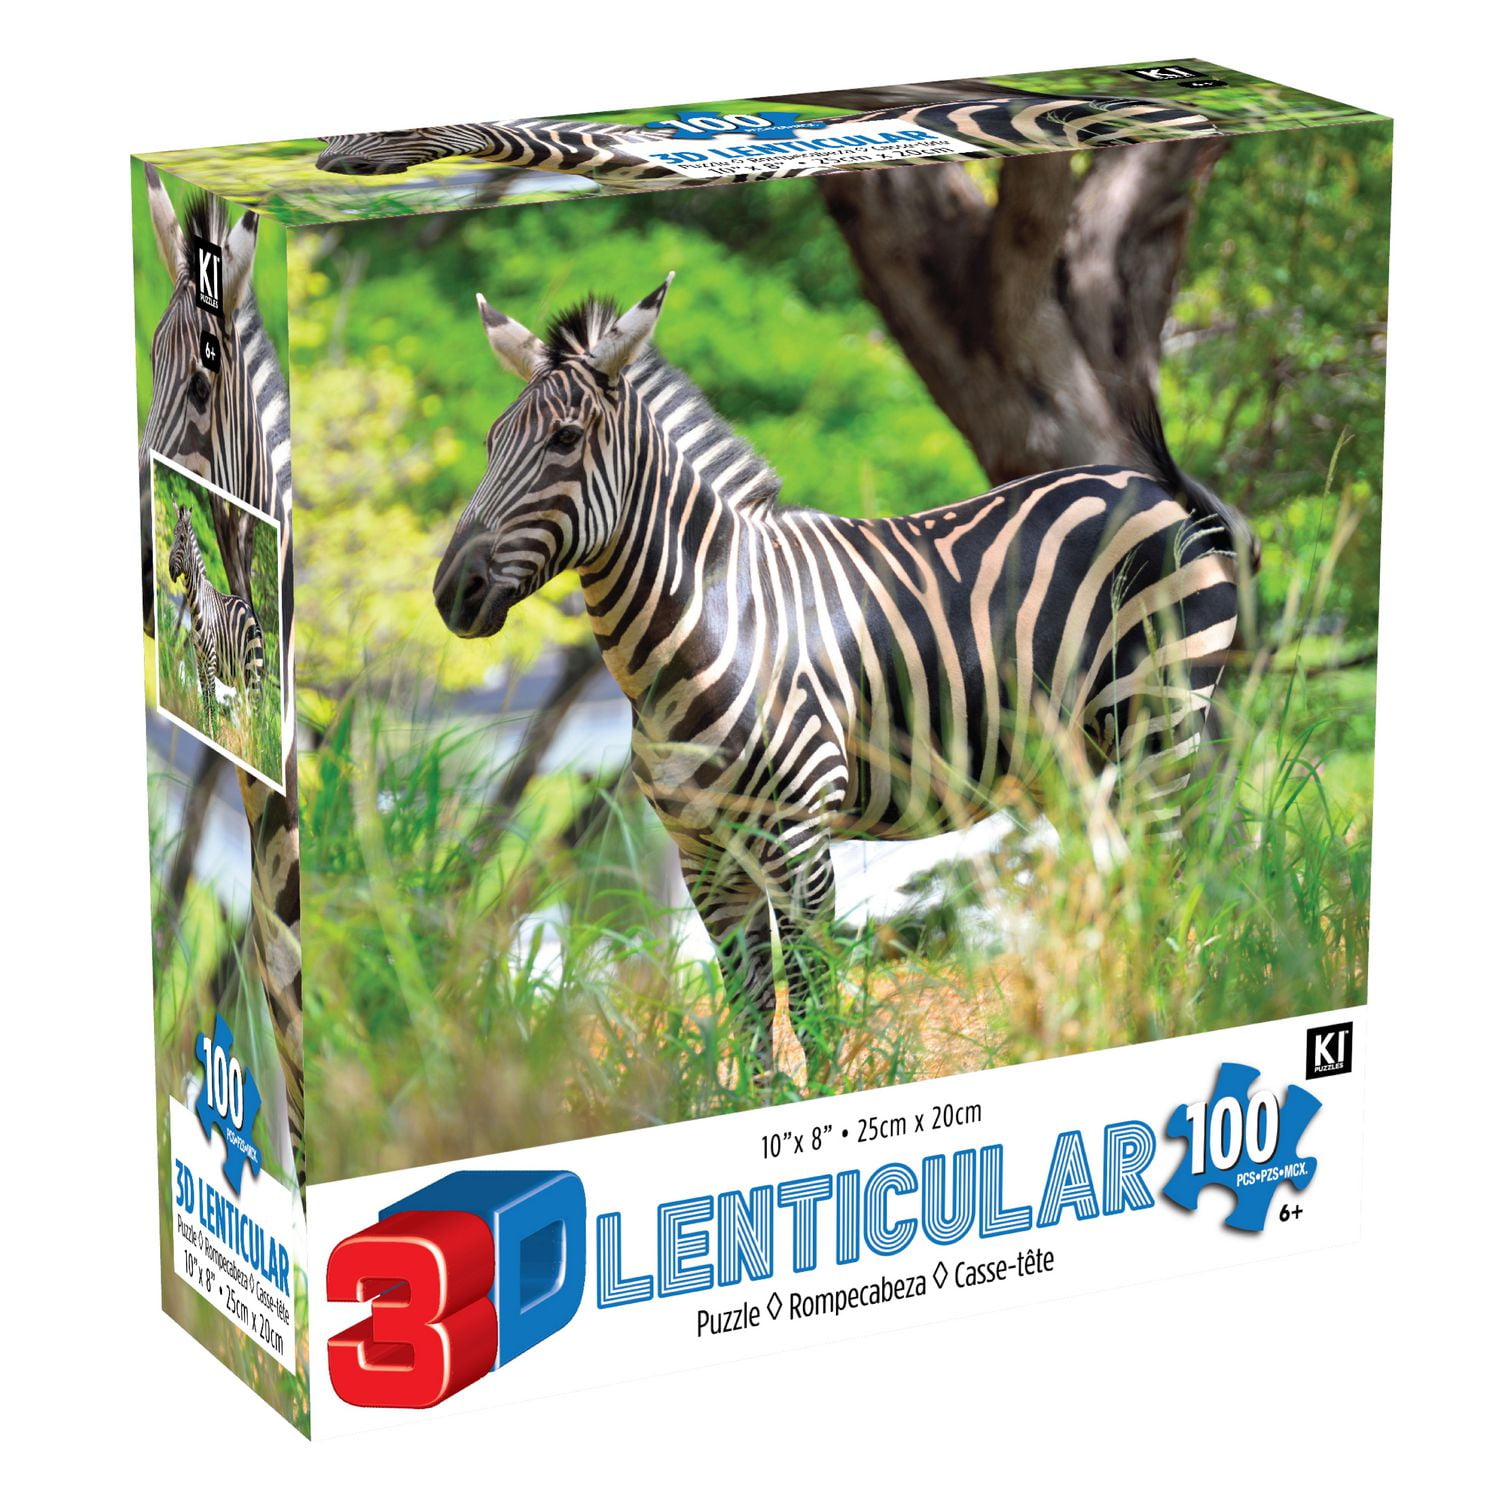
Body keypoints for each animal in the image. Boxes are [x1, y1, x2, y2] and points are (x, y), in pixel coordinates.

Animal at [166, 504, 265, 730]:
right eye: (174, 534)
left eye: (182, 538)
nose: (171, 571)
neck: (197, 604)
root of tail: (250, 609)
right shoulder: (199, 659)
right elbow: (205, 697)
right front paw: (206, 728)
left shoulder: (210, 660)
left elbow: (211, 697)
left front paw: (212, 732)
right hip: (241, 677)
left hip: (252, 670)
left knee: (256, 714)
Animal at [433, 277, 1252, 1078]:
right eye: (491, 442)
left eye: (565, 440)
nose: (452, 593)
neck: (711, 623)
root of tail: (1152, 490)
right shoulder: (704, 854)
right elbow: (751, 1019)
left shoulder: (798, 835)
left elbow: (812, 1004)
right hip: (1081, 764)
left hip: (1158, 726)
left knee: (1171, 886)